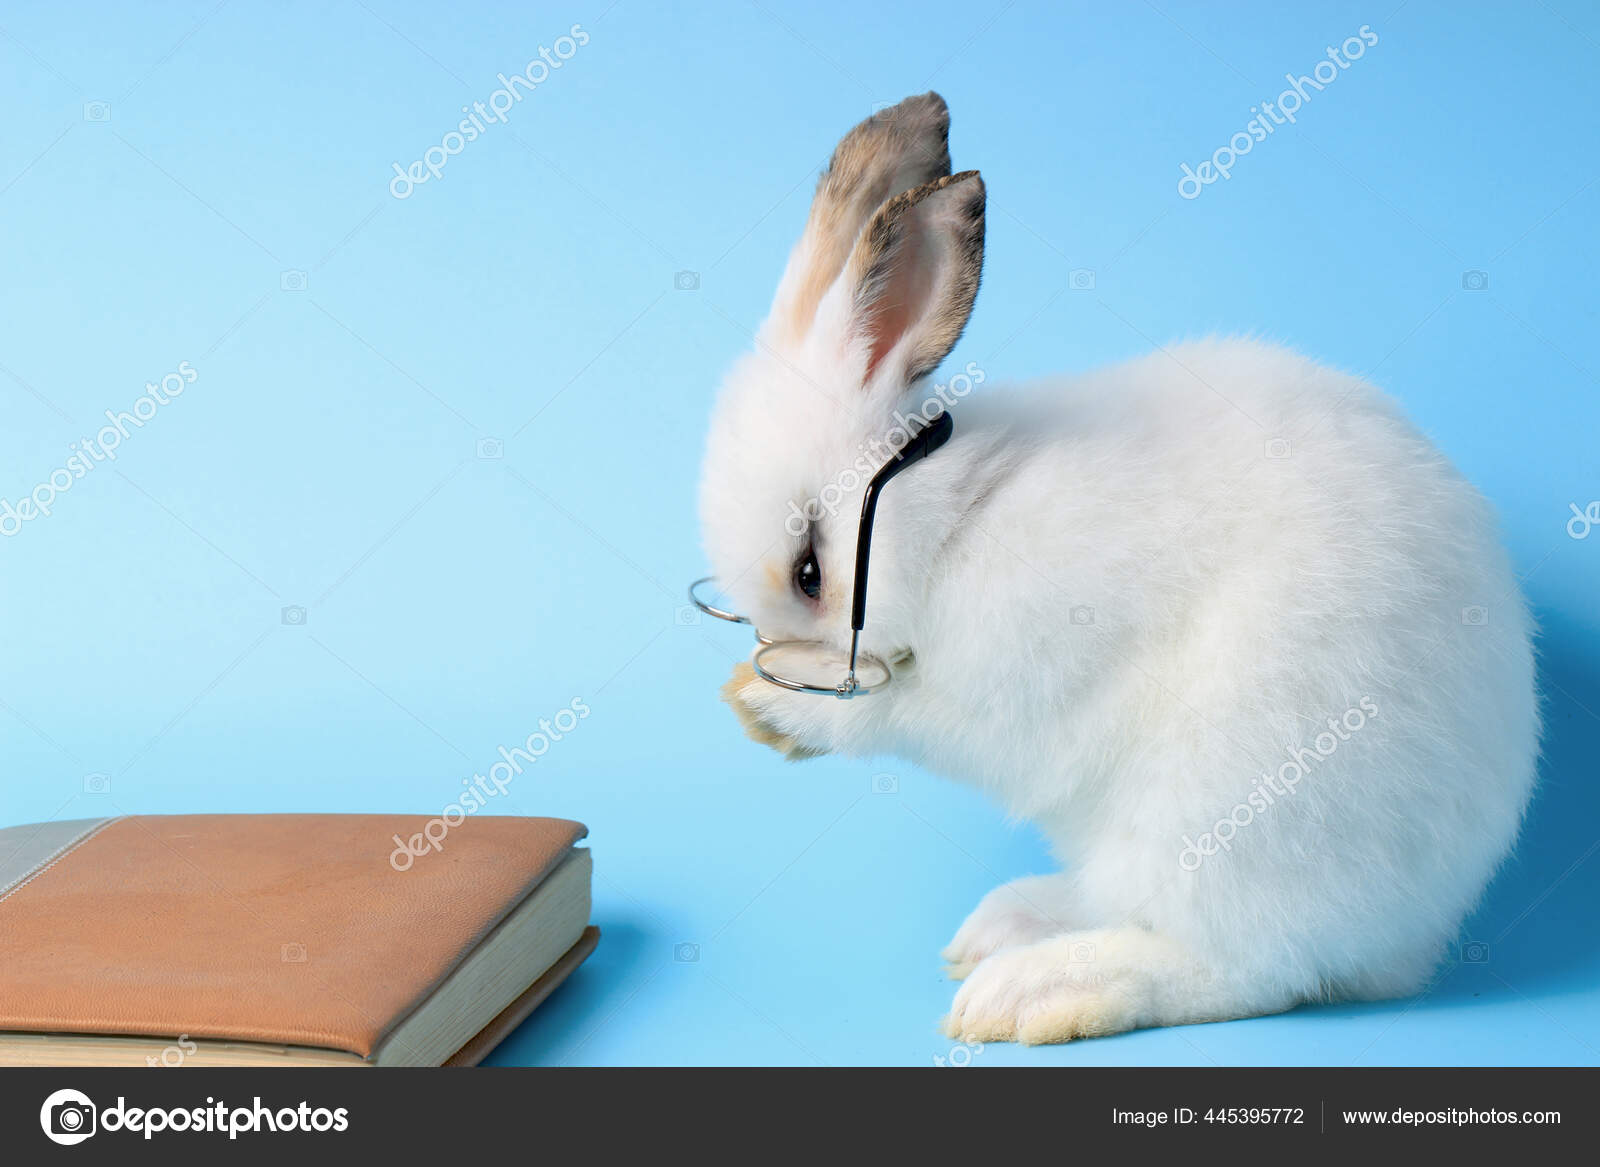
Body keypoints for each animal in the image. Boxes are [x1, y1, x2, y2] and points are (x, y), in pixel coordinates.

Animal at [697, 92, 1539, 1044]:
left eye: (810, 571)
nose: (764, 671)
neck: (957, 511)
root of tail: (1424, 932)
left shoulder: (999, 688)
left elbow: (903, 718)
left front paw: (775, 708)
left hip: (1230, 819)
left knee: (1244, 969)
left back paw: (1032, 992)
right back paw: (1004, 926)